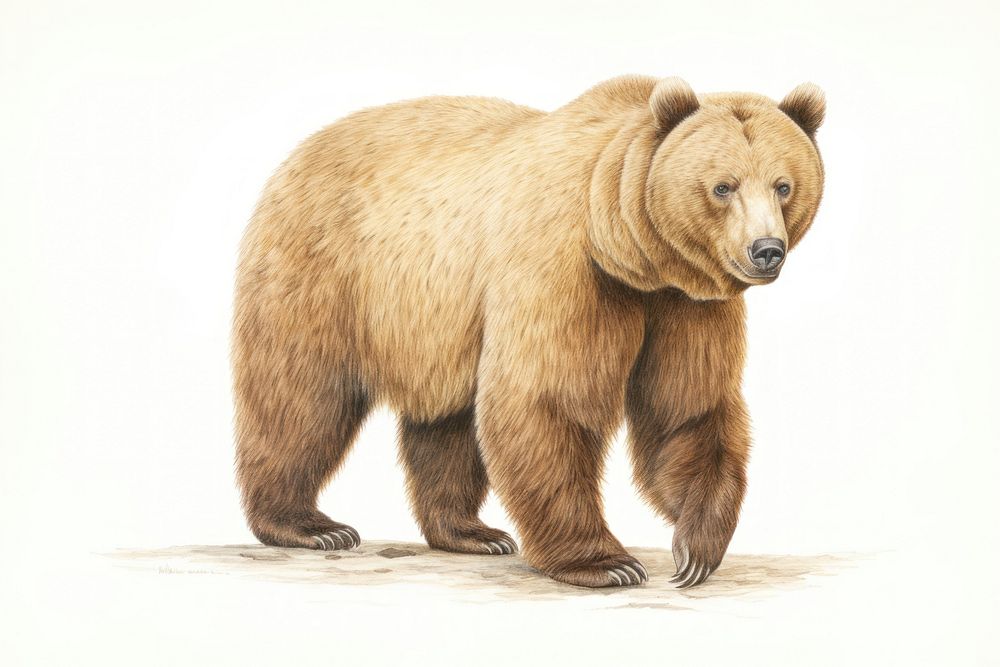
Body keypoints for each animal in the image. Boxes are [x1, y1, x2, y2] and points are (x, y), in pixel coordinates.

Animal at [232, 75, 825, 588]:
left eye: (783, 185)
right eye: (723, 186)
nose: (766, 250)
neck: (630, 249)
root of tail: (298, 153)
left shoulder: (684, 304)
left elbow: (687, 406)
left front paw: (696, 549)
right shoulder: (562, 263)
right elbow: (545, 398)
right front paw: (607, 563)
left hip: (437, 319)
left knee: (448, 421)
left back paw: (471, 532)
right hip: (324, 268)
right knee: (301, 396)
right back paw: (309, 525)